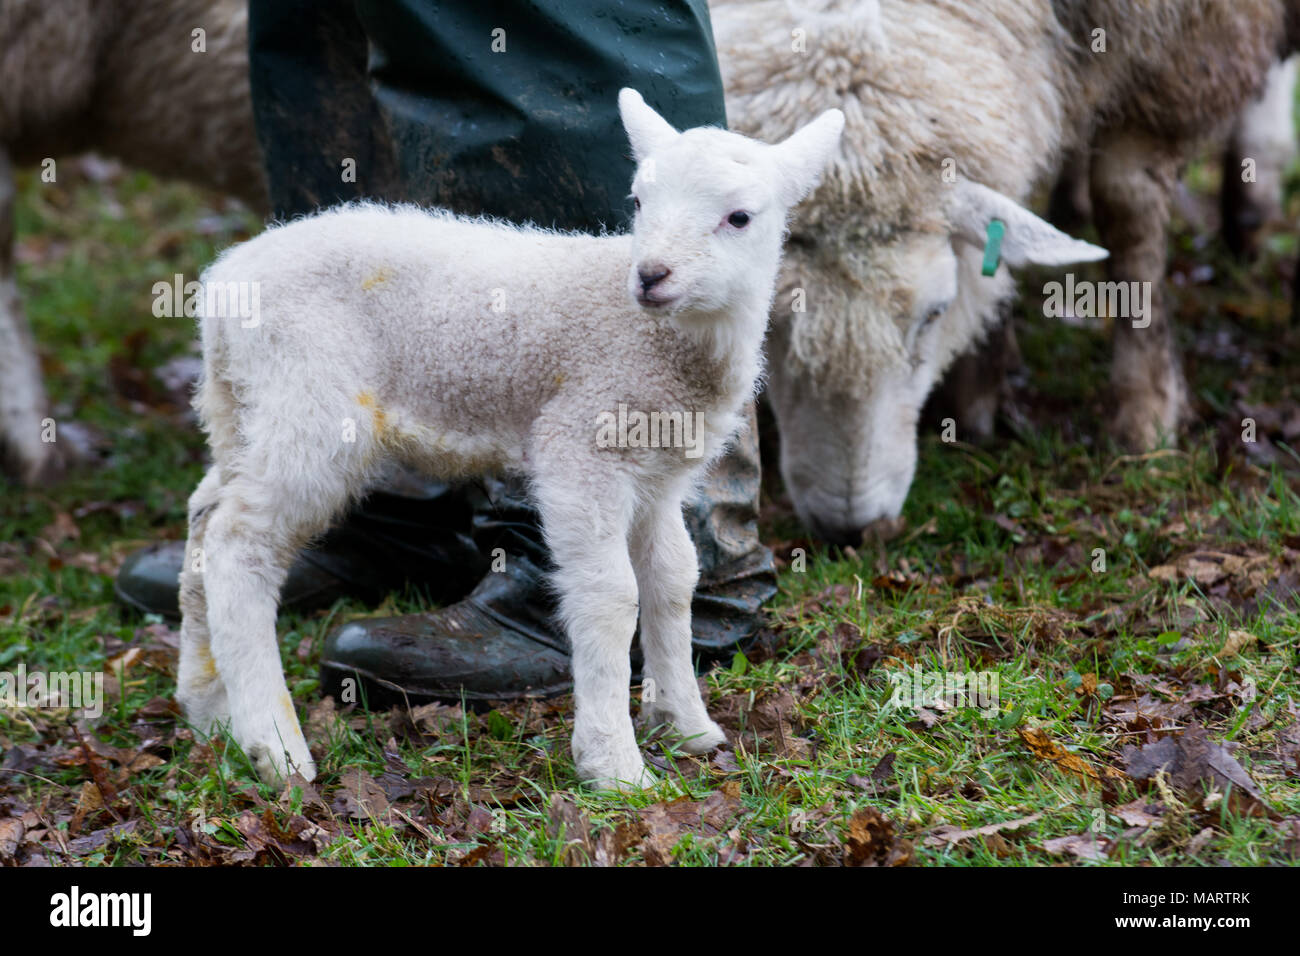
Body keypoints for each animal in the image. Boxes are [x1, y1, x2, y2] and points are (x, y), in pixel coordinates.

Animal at [176, 89, 844, 790]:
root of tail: (223, 285)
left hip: (244, 405)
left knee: (205, 518)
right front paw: (614, 764)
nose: (651, 275)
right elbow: (612, 596)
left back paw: (209, 709)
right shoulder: (581, 447)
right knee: (238, 544)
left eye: (739, 218)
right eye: (638, 202)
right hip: (311, 403)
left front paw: (686, 725)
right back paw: (274, 746)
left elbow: (672, 580)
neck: (664, 342)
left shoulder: (659, 474)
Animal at [712, 0, 1297, 544]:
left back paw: (1252, 200)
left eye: (935, 313)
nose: (852, 529)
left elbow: (1127, 198)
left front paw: (1144, 415)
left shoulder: (1181, 46)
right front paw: (980, 385)